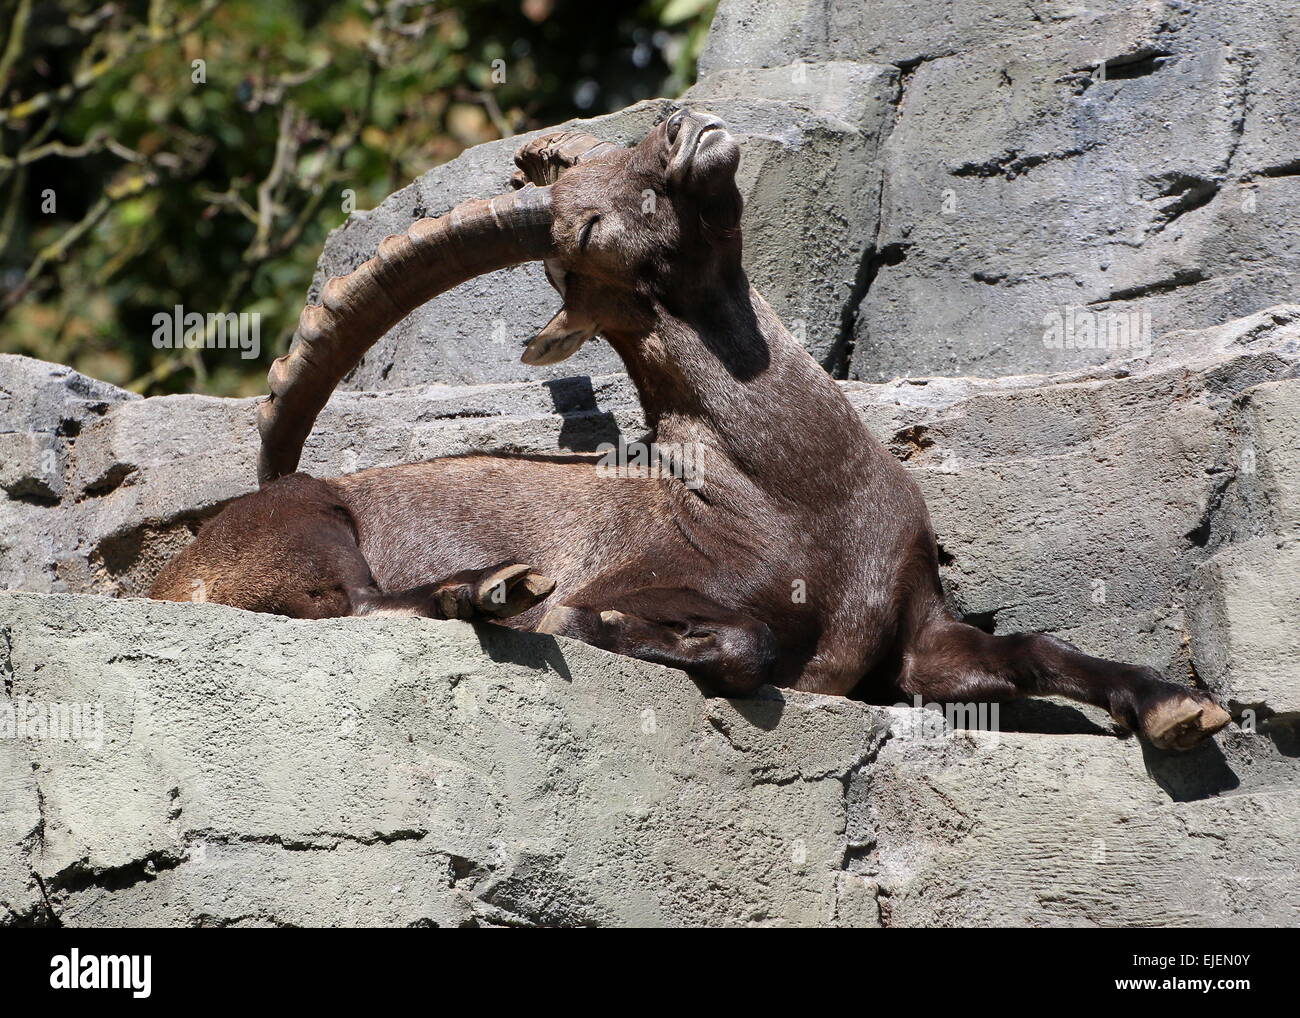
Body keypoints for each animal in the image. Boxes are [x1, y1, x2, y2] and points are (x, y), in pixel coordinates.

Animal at [150, 109, 1231, 751]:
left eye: (626, 153)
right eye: (584, 229)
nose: (682, 128)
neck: (809, 498)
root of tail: (171, 579)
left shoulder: (915, 633)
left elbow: (1030, 649)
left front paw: (1177, 705)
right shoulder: (664, 580)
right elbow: (730, 642)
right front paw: (589, 623)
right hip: (307, 524)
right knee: (359, 602)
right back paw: (494, 590)